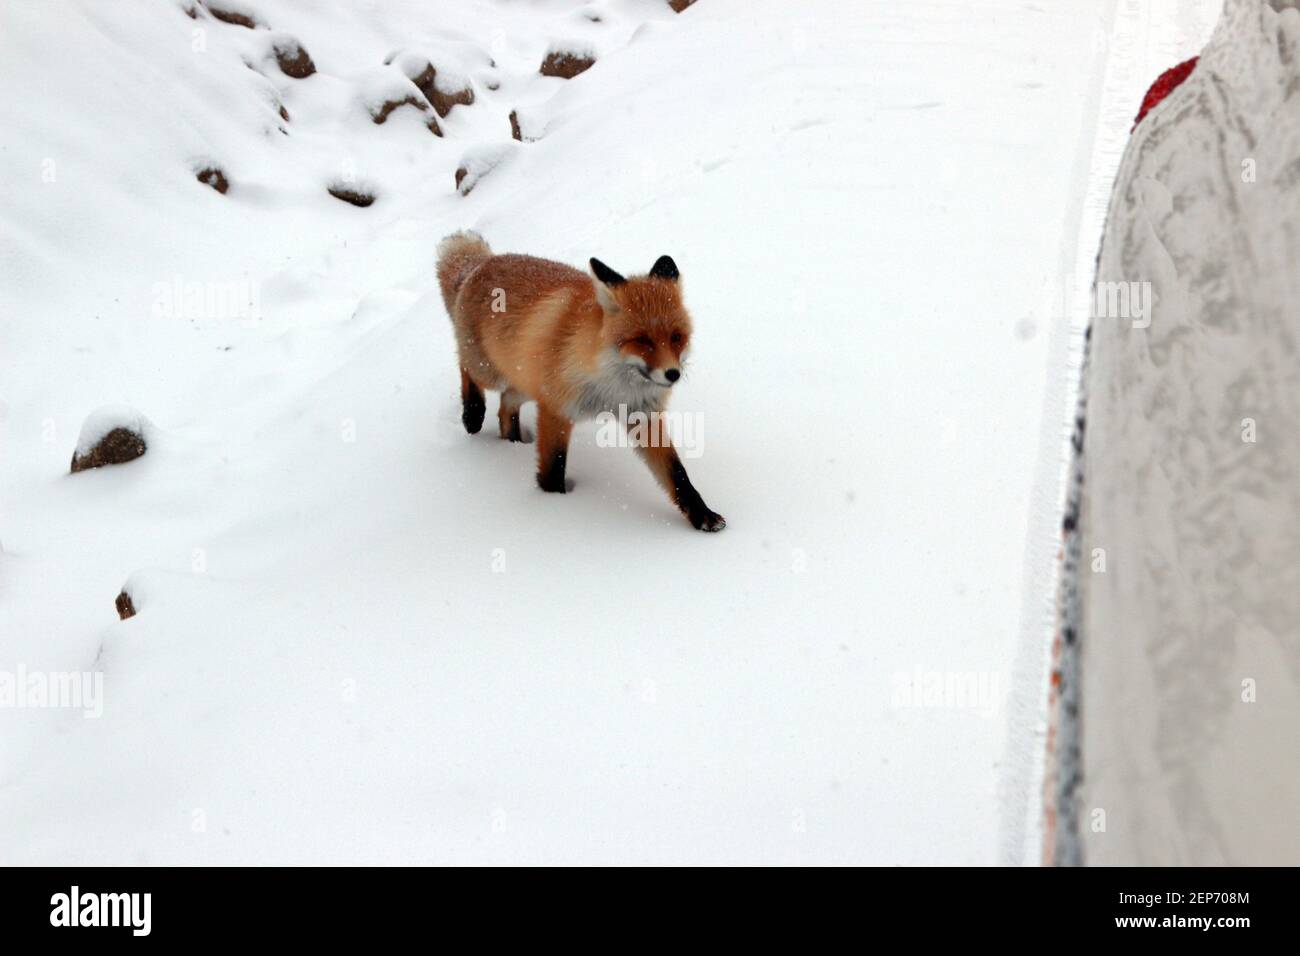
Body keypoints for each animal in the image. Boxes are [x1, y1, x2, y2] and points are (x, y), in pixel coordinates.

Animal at [435, 230, 725, 532]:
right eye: (642, 340)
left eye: (677, 337)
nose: (673, 374)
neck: (613, 386)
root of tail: (482, 264)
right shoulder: (556, 409)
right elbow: (554, 466)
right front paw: (555, 506)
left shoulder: (642, 414)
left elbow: (677, 474)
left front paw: (702, 515)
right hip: (492, 372)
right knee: (466, 367)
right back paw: (472, 414)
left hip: (526, 383)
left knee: (506, 405)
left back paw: (512, 441)